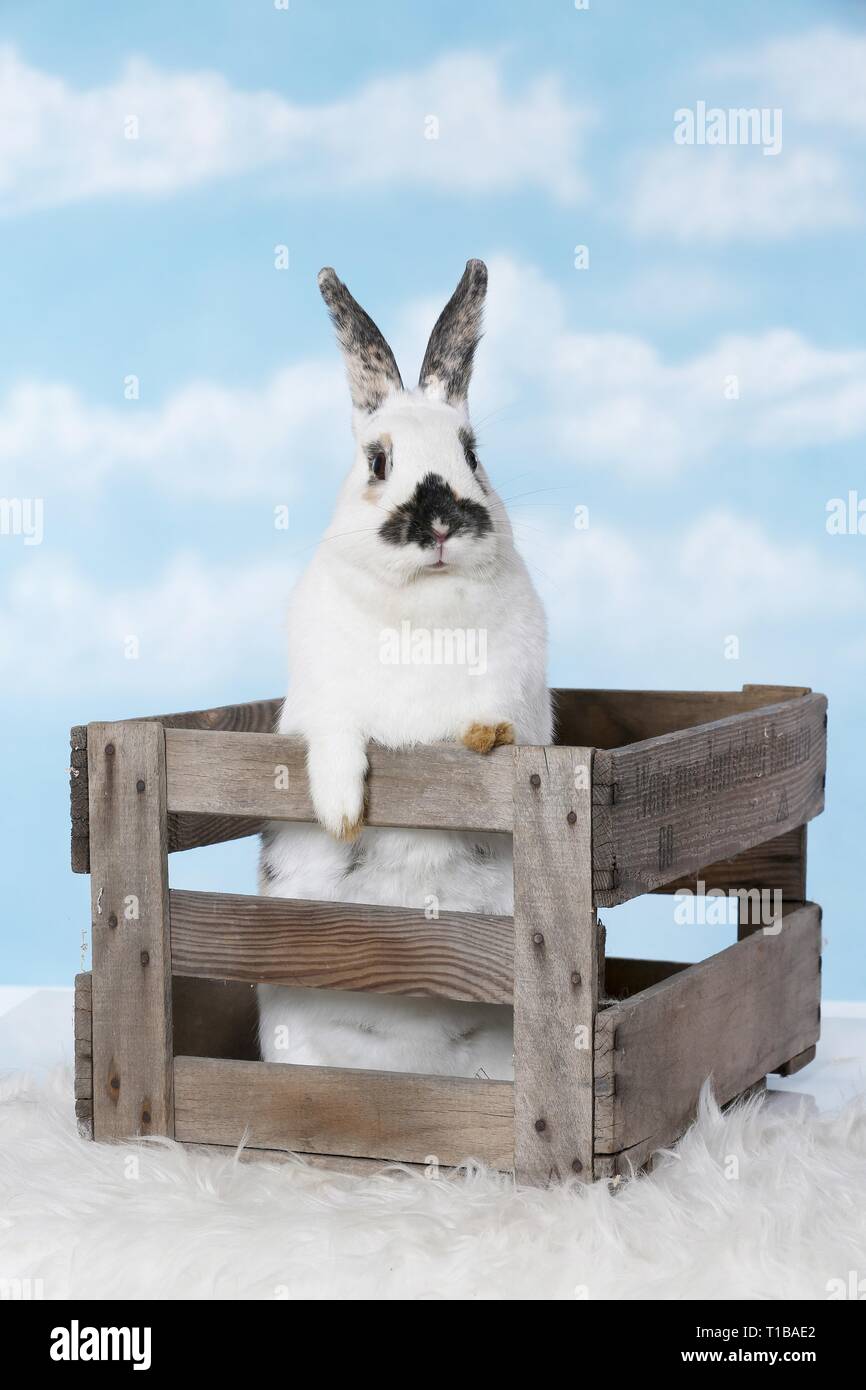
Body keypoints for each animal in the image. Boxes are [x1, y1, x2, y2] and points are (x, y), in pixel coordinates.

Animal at [257, 260, 552, 1080]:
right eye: (378, 461)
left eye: (472, 453)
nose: (443, 522)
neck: (426, 611)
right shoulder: (320, 702)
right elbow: (336, 739)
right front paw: (340, 813)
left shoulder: (521, 689)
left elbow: (500, 718)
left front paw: (482, 737)